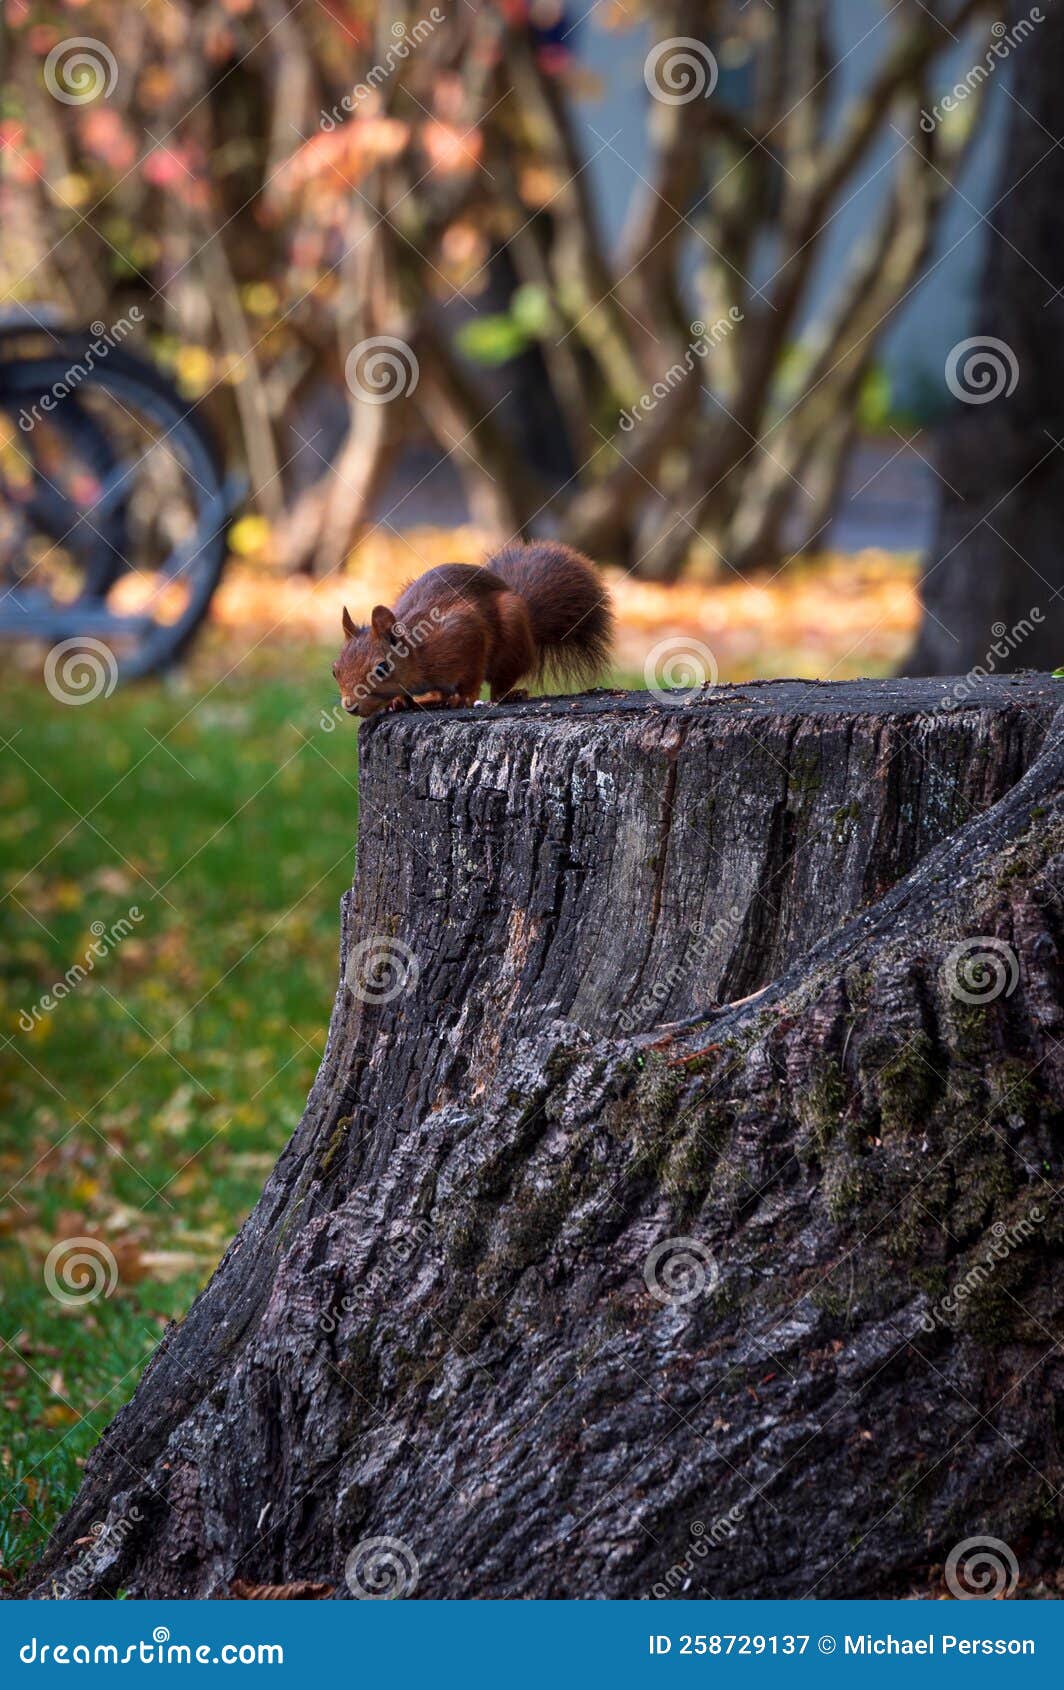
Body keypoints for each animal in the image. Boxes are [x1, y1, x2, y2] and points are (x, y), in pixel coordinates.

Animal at [332, 540, 613, 719]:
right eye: (335, 670)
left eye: (382, 668)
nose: (350, 707)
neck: (419, 652)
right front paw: (398, 700)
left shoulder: (463, 631)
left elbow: (472, 672)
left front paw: (464, 698)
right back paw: (431, 698)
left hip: (512, 638)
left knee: (501, 683)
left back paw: (510, 694)